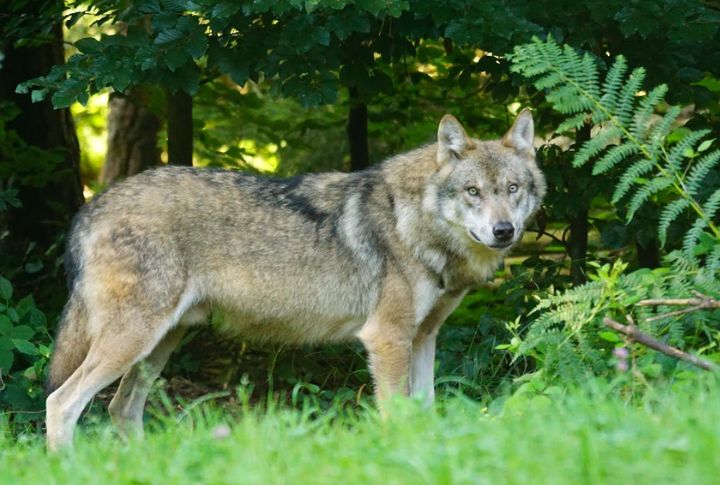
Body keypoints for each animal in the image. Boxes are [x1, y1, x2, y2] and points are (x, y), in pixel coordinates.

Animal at [45, 110, 545, 450]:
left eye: (512, 189)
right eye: (473, 192)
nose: (504, 231)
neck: (414, 221)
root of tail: (92, 206)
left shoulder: (423, 337)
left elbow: (426, 411)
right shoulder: (387, 339)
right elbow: (397, 416)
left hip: (159, 345)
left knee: (121, 409)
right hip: (133, 341)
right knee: (61, 403)